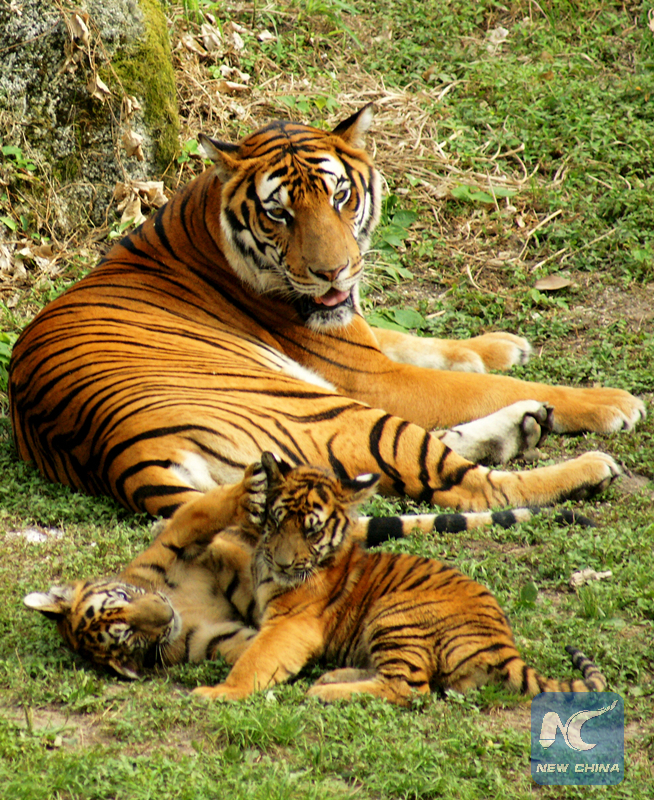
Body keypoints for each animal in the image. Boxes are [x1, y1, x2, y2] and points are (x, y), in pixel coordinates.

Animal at [8, 106, 644, 520]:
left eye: (340, 196)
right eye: (279, 214)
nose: (333, 272)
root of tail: (127, 458)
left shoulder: (359, 338)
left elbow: (419, 342)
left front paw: (497, 345)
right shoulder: (369, 375)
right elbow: (478, 384)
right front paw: (612, 402)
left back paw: (525, 425)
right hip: (327, 409)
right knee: (461, 486)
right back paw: (585, 466)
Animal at [23, 458, 590, 681]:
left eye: (122, 602)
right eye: (126, 638)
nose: (163, 621)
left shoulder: (178, 541)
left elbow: (203, 510)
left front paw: (251, 490)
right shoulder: (221, 640)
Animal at [190, 454, 606, 706]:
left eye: (312, 530)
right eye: (277, 521)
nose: (282, 562)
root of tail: (505, 645)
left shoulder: (290, 624)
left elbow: (255, 661)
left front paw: (218, 692)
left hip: (394, 613)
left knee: (408, 687)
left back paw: (326, 691)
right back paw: (333, 677)